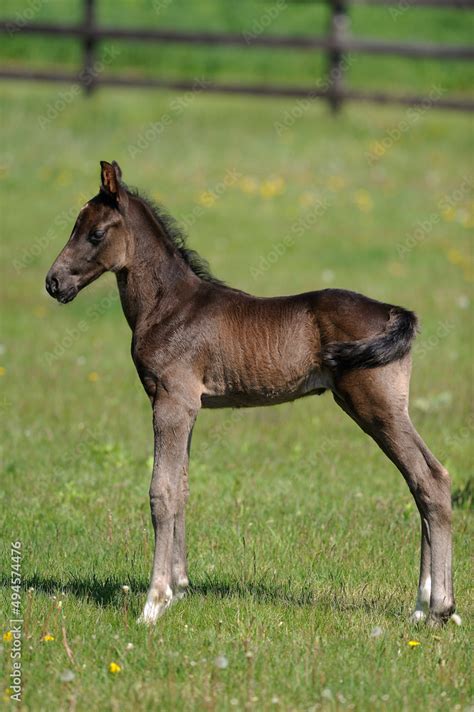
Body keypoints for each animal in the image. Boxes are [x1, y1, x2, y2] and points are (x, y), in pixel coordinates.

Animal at [45, 161, 460, 626]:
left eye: (95, 233)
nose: (53, 282)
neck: (168, 306)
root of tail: (396, 313)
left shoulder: (171, 401)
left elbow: (161, 493)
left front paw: (153, 603)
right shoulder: (189, 407)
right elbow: (183, 487)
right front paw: (180, 589)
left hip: (375, 406)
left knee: (430, 479)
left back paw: (440, 607)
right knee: (421, 481)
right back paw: (422, 606)